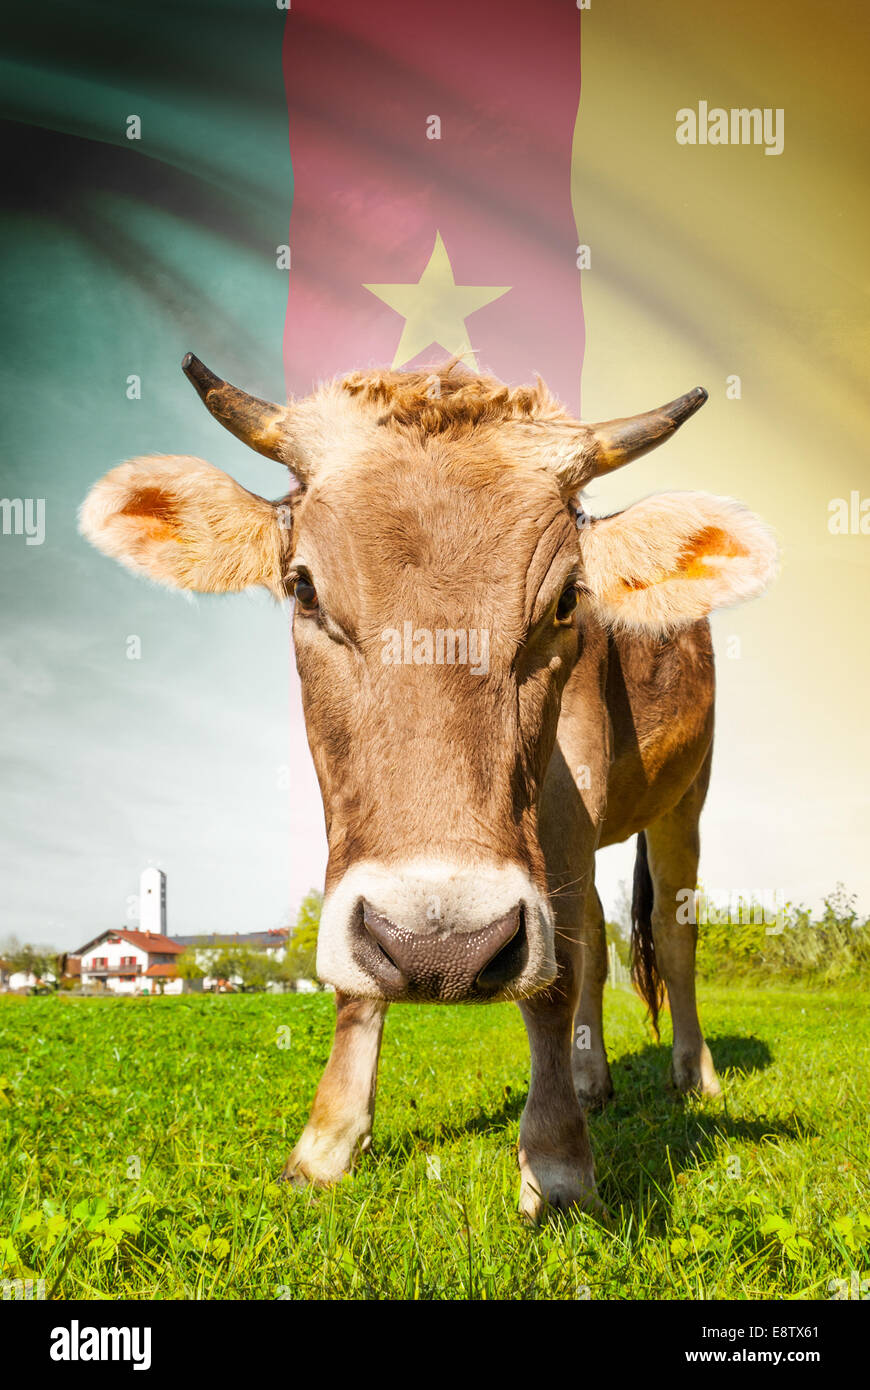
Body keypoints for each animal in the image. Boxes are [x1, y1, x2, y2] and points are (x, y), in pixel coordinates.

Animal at [80, 354, 777, 1221]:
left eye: (566, 600)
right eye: (304, 588)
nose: (440, 949)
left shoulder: (570, 794)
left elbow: (552, 982)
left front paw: (557, 1161)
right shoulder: (354, 821)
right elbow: (361, 974)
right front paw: (326, 1143)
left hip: (686, 799)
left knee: (672, 941)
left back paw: (693, 1075)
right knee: (594, 942)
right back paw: (592, 1080)